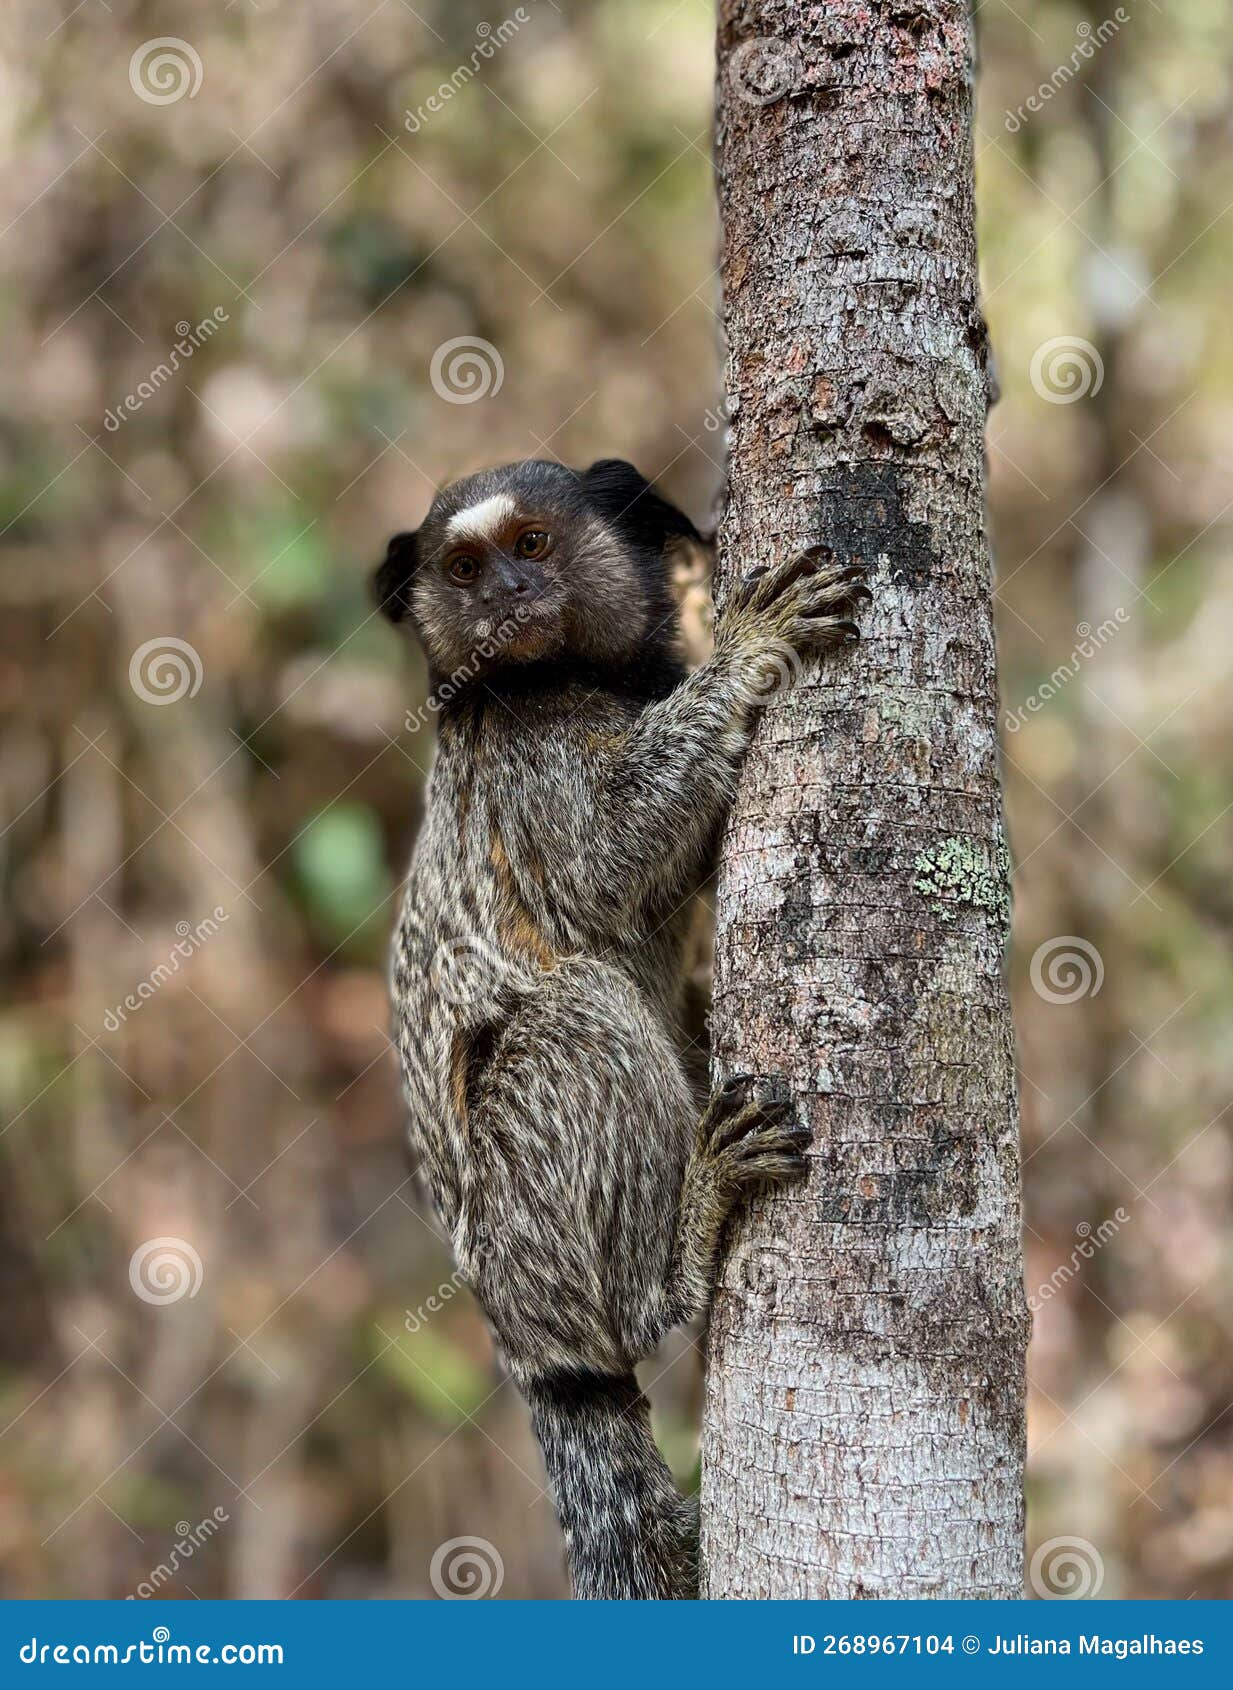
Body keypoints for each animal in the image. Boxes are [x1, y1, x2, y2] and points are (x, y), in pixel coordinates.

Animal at [374, 457, 867, 1600]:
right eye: (463, 570)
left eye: (533, 547)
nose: (506, 597)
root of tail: (533, 1351)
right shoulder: (530, 760)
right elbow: (606, 867)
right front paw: (745, 648)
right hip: (527, 1223)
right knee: (575, 1014)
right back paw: (679, 1252)